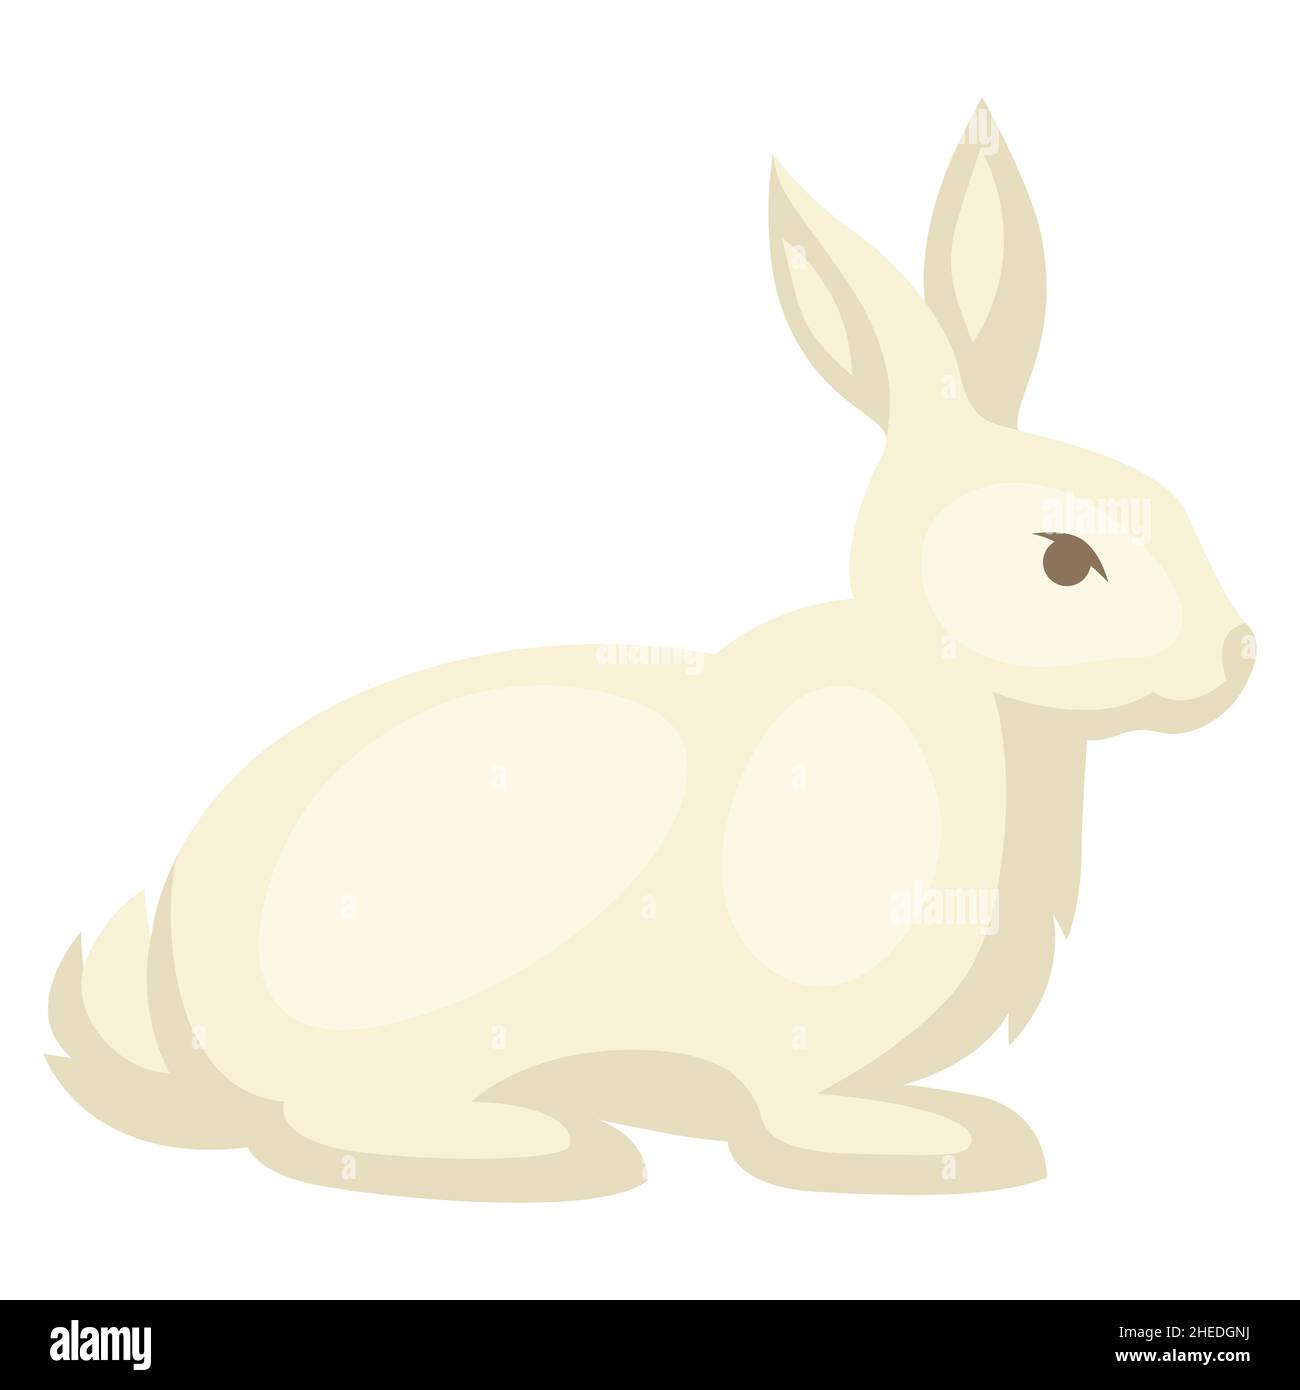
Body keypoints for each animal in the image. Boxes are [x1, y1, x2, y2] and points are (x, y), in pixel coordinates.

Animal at [48, 104, 1253, 1199]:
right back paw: (533, 1146)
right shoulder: (797, 1024)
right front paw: (913, 1141)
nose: (1240, 654)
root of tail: (187, 1011)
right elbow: (797, 1103)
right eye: (1066, 561)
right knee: (328, 1118)